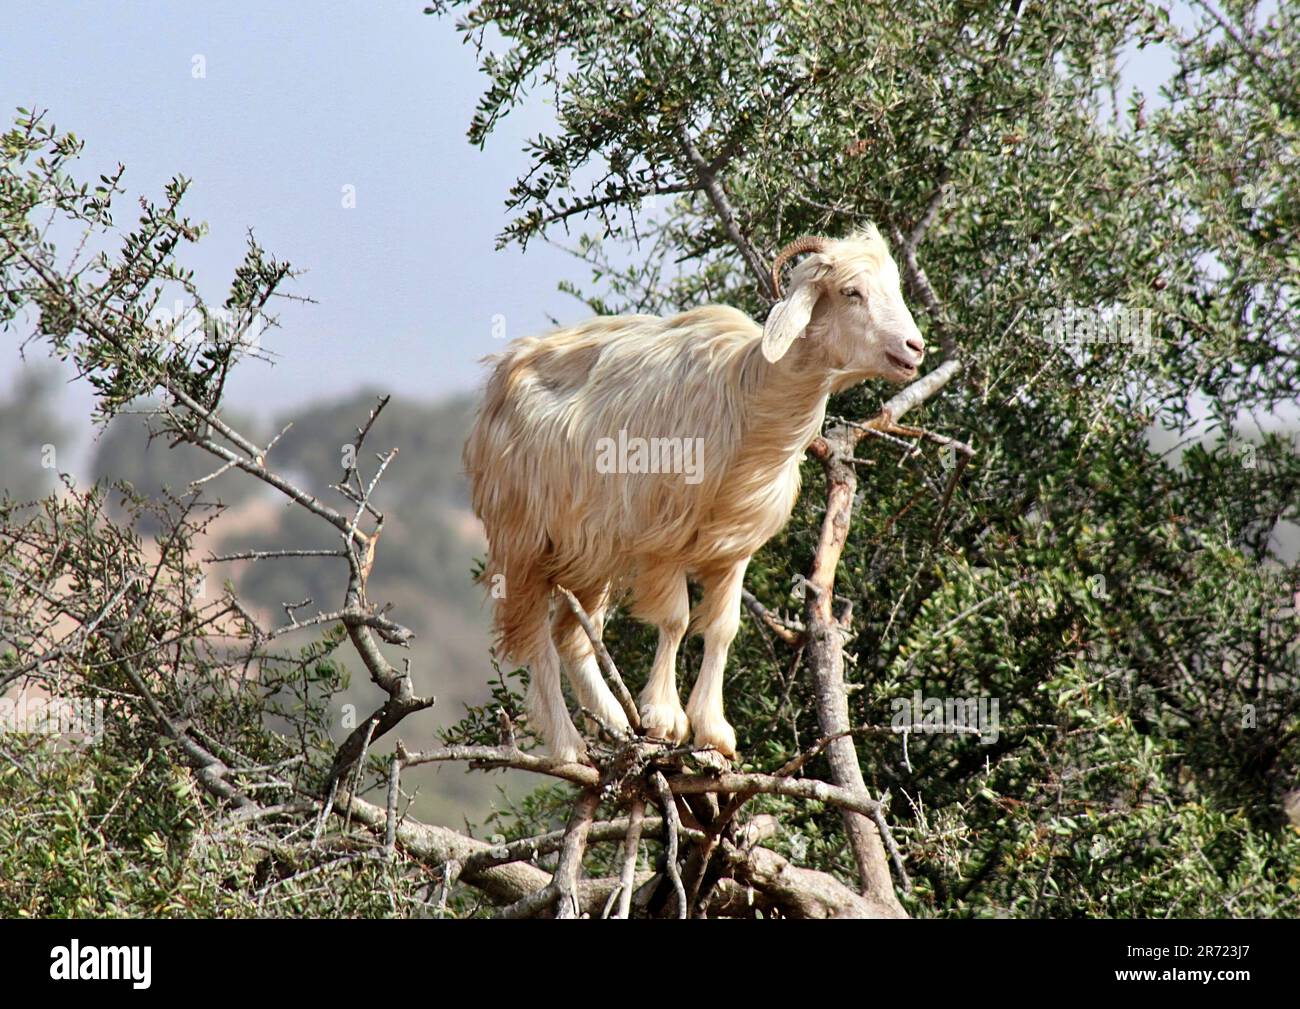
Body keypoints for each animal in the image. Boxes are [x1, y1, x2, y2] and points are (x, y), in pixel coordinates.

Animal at [463, 226, 925, 762]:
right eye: (852, 292)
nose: (914, 348)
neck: (746, 401)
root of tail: (507, 367)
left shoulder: (735, 549)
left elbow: (723, 629)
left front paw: (713, 730)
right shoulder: (662, 538)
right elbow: (675, 621)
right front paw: (665, 718)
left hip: (592, 549)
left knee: (572, 635)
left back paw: (615, 722)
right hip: (524, 536)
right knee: (536, 633)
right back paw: (569, 745)